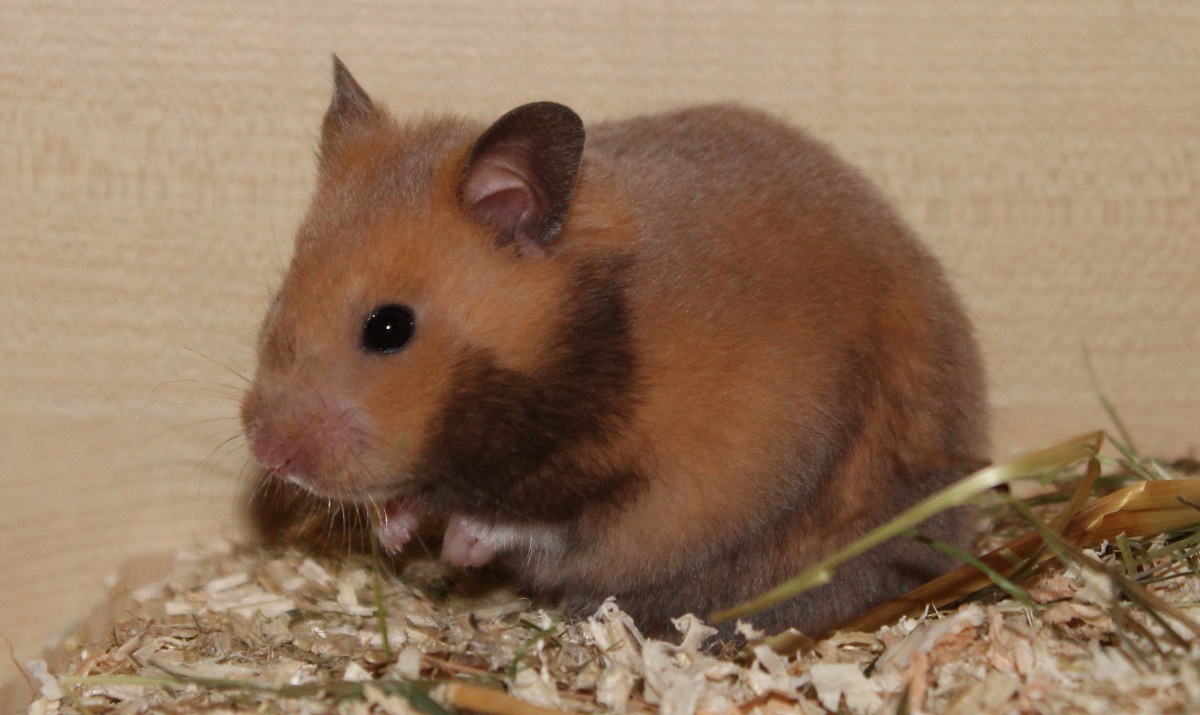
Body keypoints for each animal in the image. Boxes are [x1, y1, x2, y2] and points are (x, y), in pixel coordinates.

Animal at [240, 57, 988, 638]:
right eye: (281, 295)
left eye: (389, 328)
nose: (270, 452)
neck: (574, 343)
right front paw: (397, 528)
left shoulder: (678, 482)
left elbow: (543, 521)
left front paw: (457, 545)